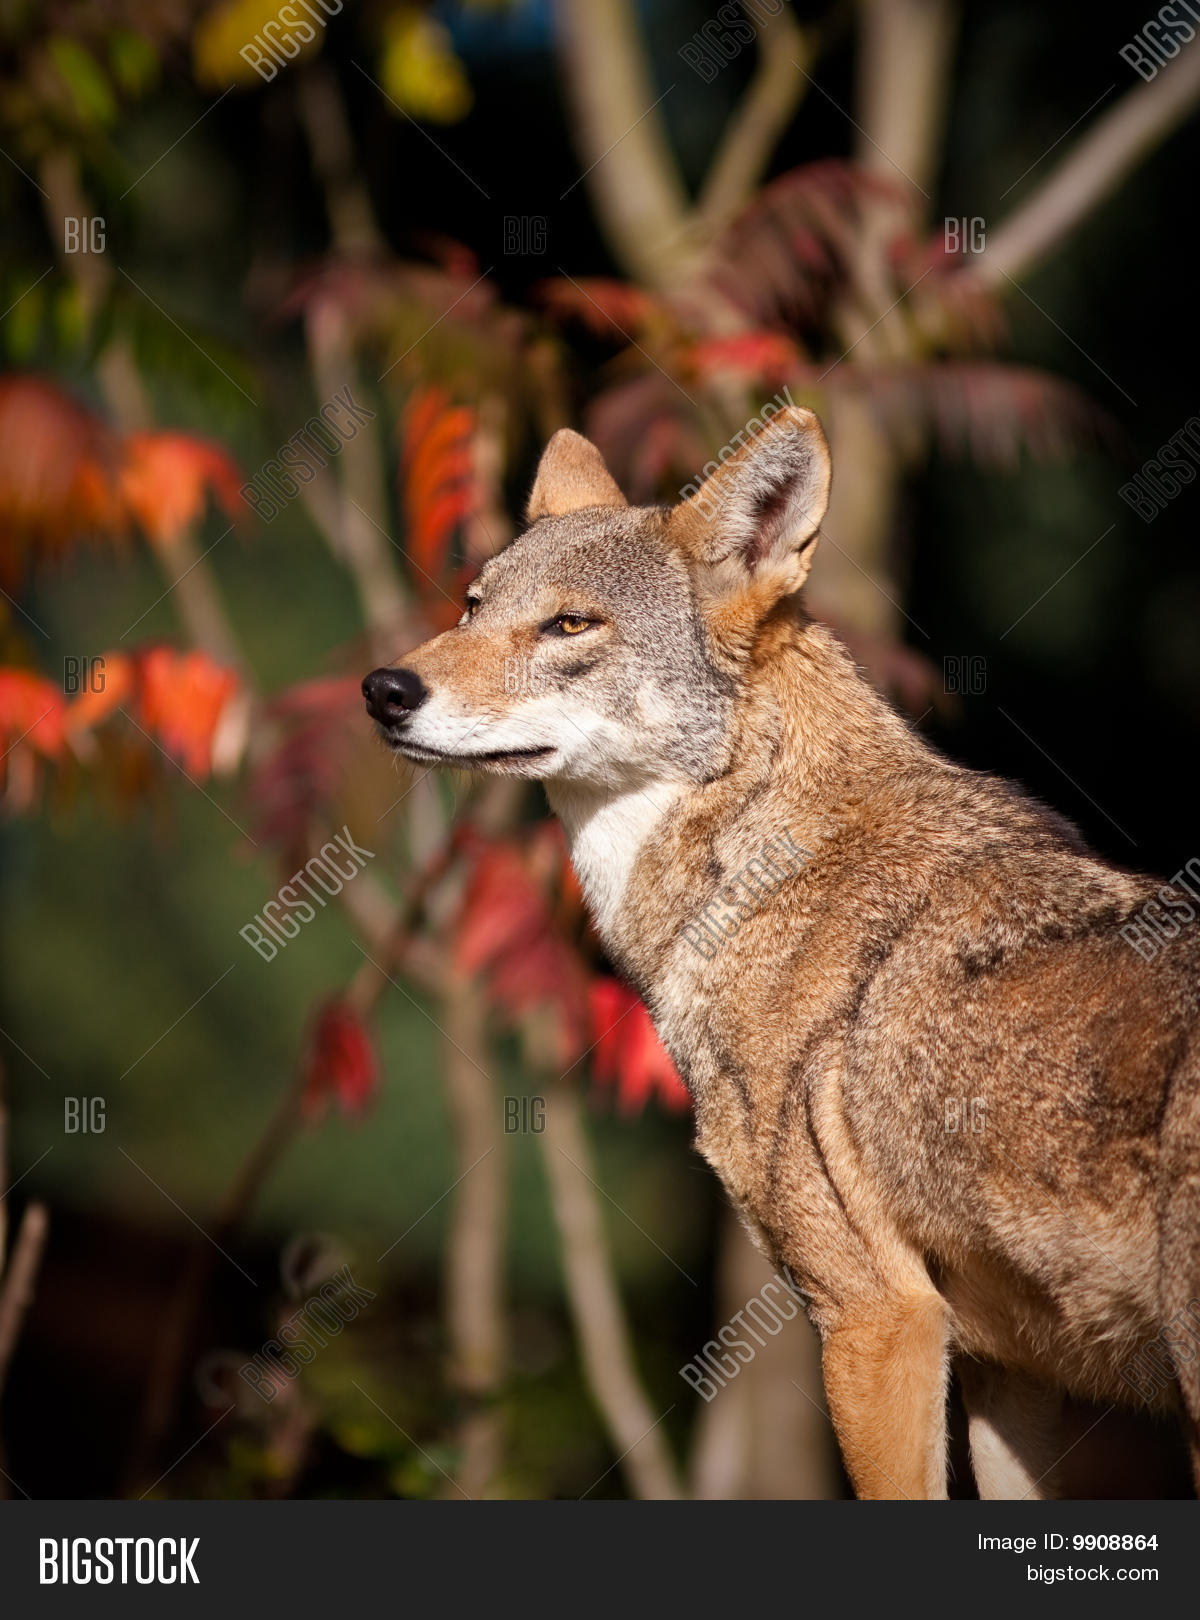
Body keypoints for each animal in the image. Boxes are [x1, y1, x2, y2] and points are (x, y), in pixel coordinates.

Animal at [363, 407, 1200, 1499]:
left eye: (571, 626)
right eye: (471, 605)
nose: (384, 688)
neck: (760, 869)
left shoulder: (877, 1317)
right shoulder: (1014, 1371)